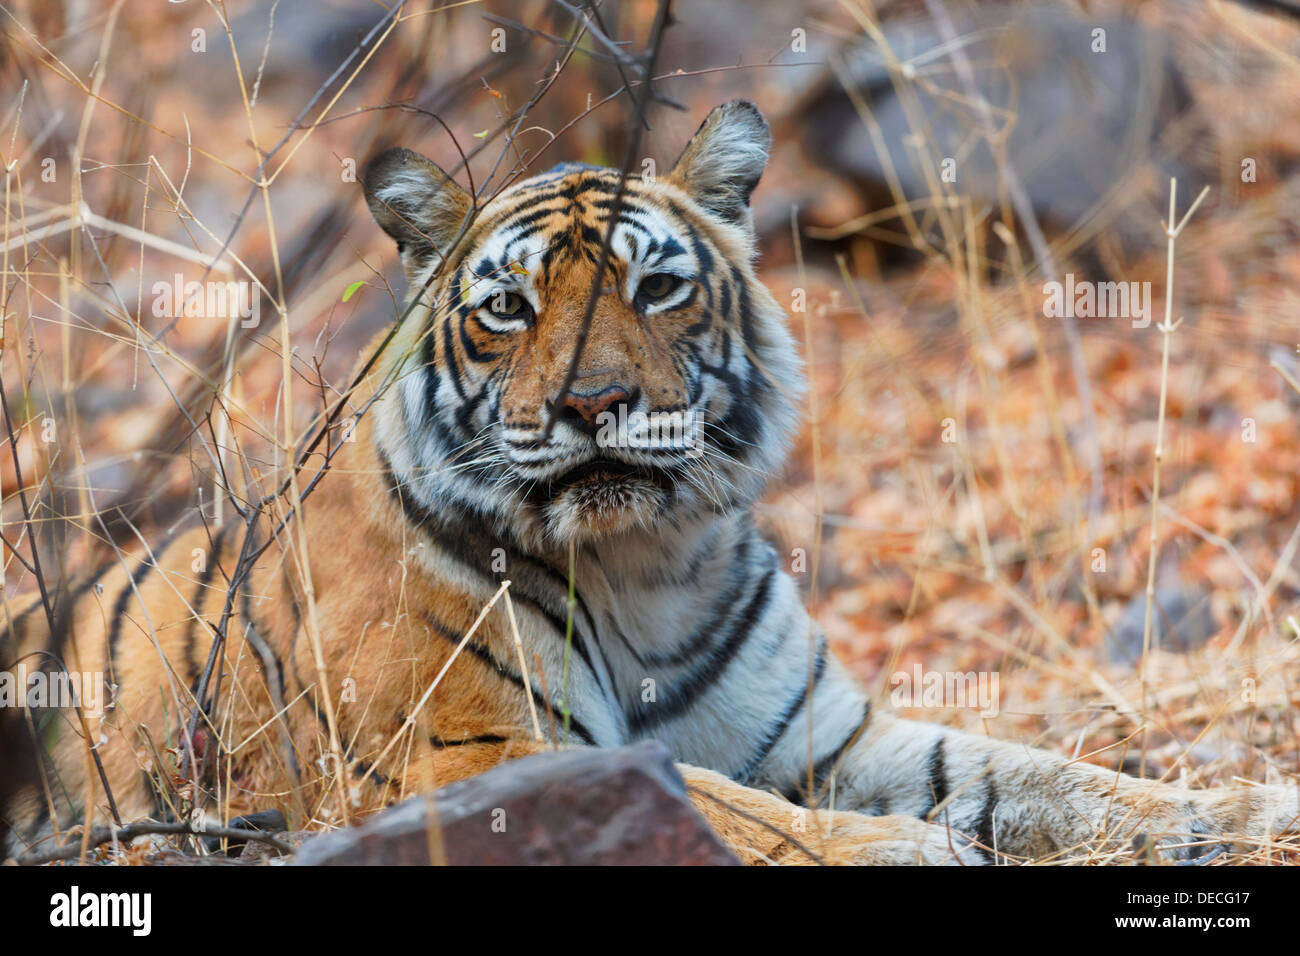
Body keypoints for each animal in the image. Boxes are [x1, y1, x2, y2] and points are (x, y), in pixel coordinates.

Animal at [2, 100, 1297, 865]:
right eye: (508, 306)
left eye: (657, 287)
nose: (592, 403)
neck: (648, 565)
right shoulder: (476, 756)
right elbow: (735, 805)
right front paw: (906, 850)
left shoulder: (825, 730)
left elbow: (1034, 770)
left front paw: (1233, 812)